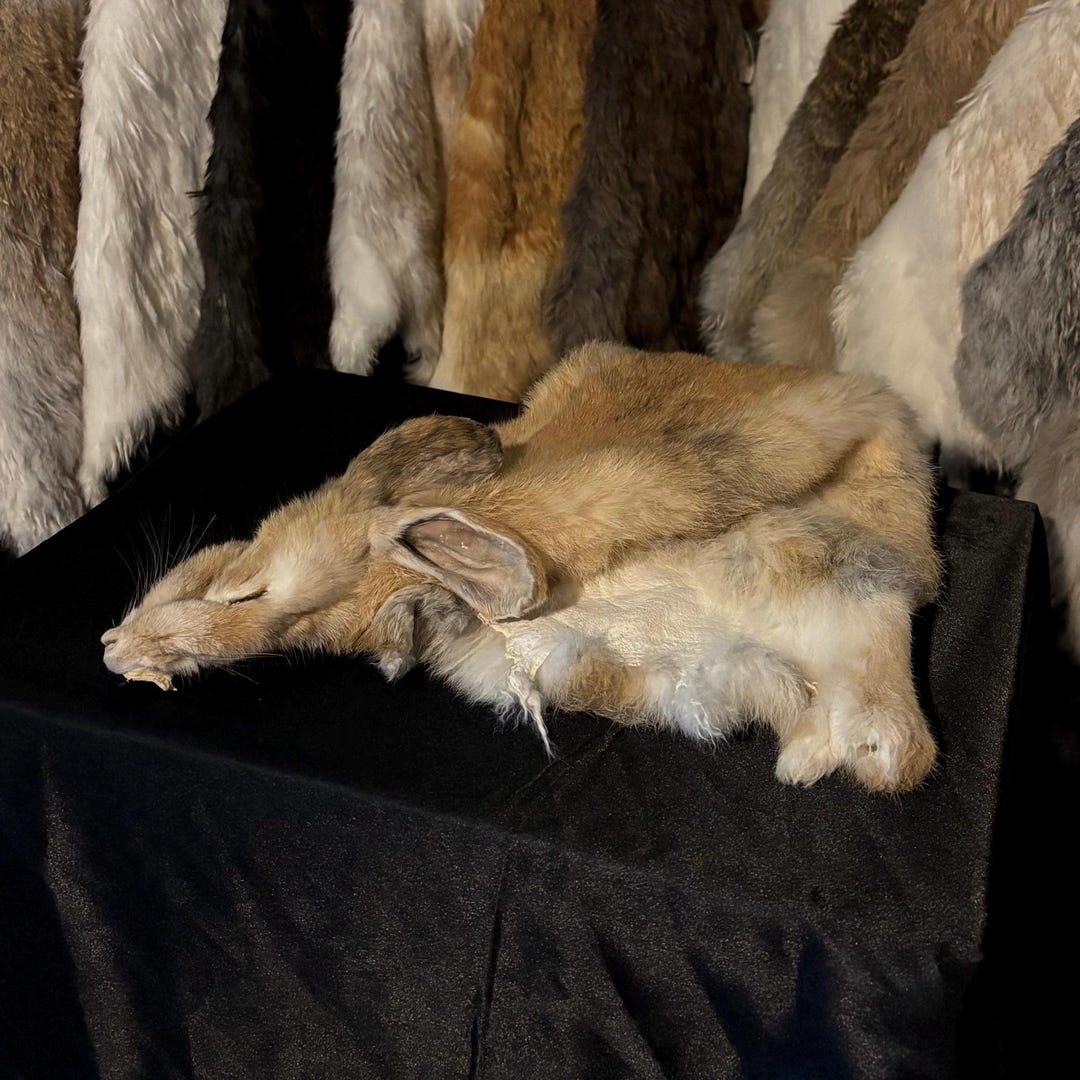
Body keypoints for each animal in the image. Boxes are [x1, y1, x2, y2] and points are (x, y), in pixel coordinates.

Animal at [101, 343, 938, 791]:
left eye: (239, 591)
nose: (111, 649)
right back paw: (816, 754)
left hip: (836, 546)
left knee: (893, 683)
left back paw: (863, 750)